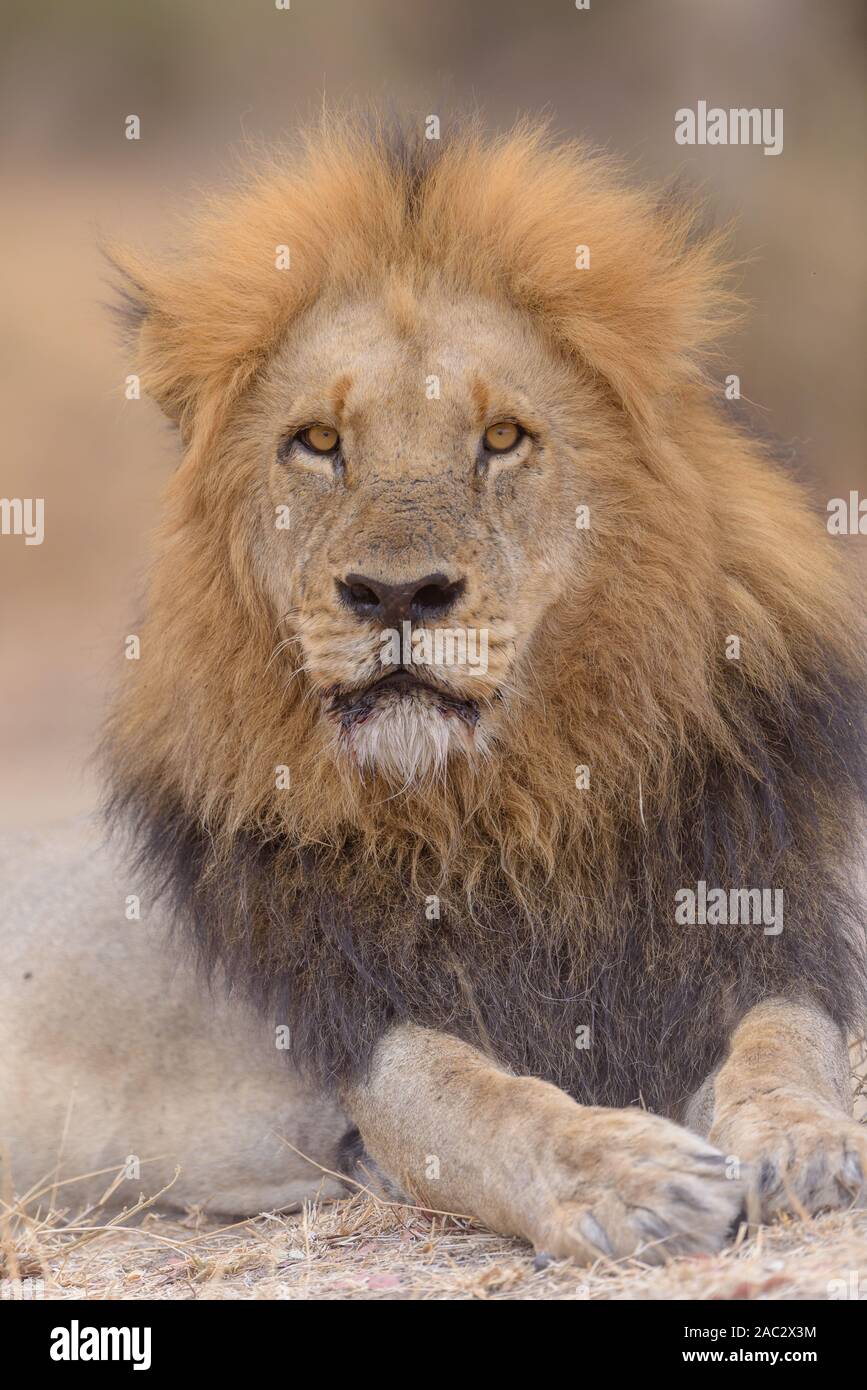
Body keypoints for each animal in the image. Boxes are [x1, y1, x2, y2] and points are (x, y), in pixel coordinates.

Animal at [3, 115, 866, 1263]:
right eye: (318, 443)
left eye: (501, 439)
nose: (397, 593)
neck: (517, 808)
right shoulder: (360, 1032)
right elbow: (484, 1103)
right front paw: (633, 1178)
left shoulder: (761, 933)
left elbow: (784, 1044)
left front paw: (808, 1146)